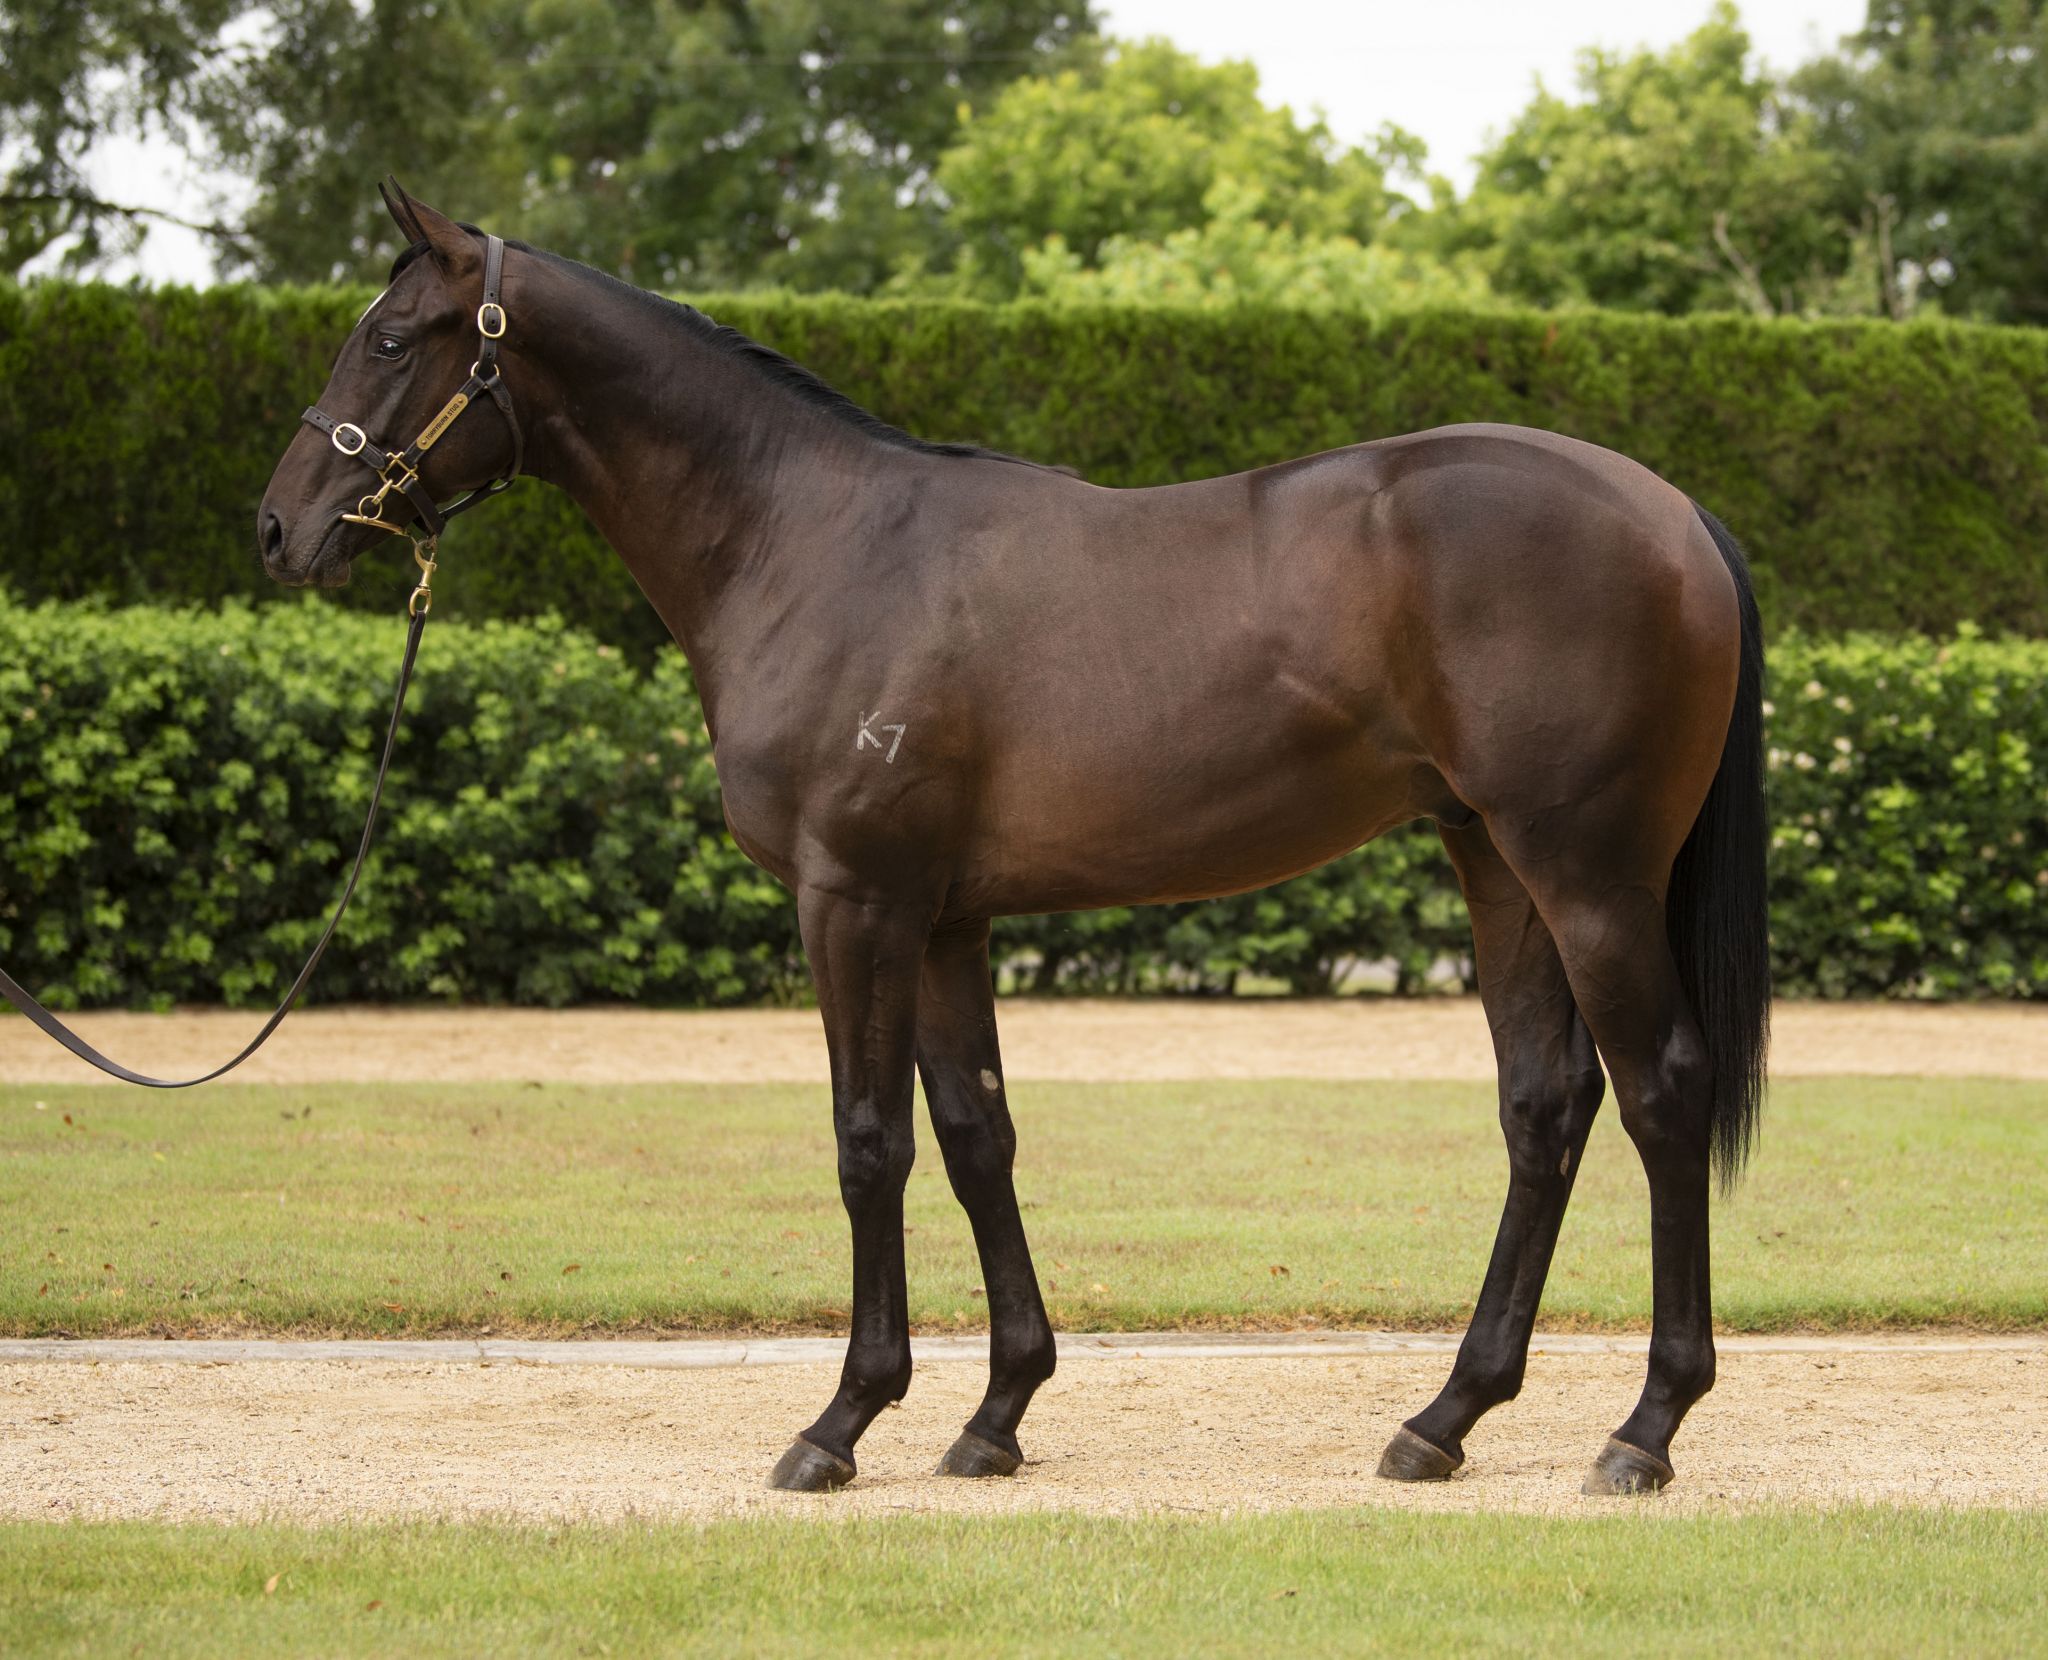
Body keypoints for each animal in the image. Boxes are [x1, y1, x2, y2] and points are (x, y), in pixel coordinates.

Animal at [258, 181, 1768, 1498]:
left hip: (1587, 873)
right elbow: (976, 1133)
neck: (807, 540)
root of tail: (1676, 512)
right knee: (1543, 1108)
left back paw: (1644, 1428)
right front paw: (994, 1415)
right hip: (1494, 862)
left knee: (1661, 1093)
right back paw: (1444, 1416)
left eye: (389, 338)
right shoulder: (942, 918)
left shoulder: (852, 901)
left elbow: (869, 1140)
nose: (279, 529)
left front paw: (841, 1421)